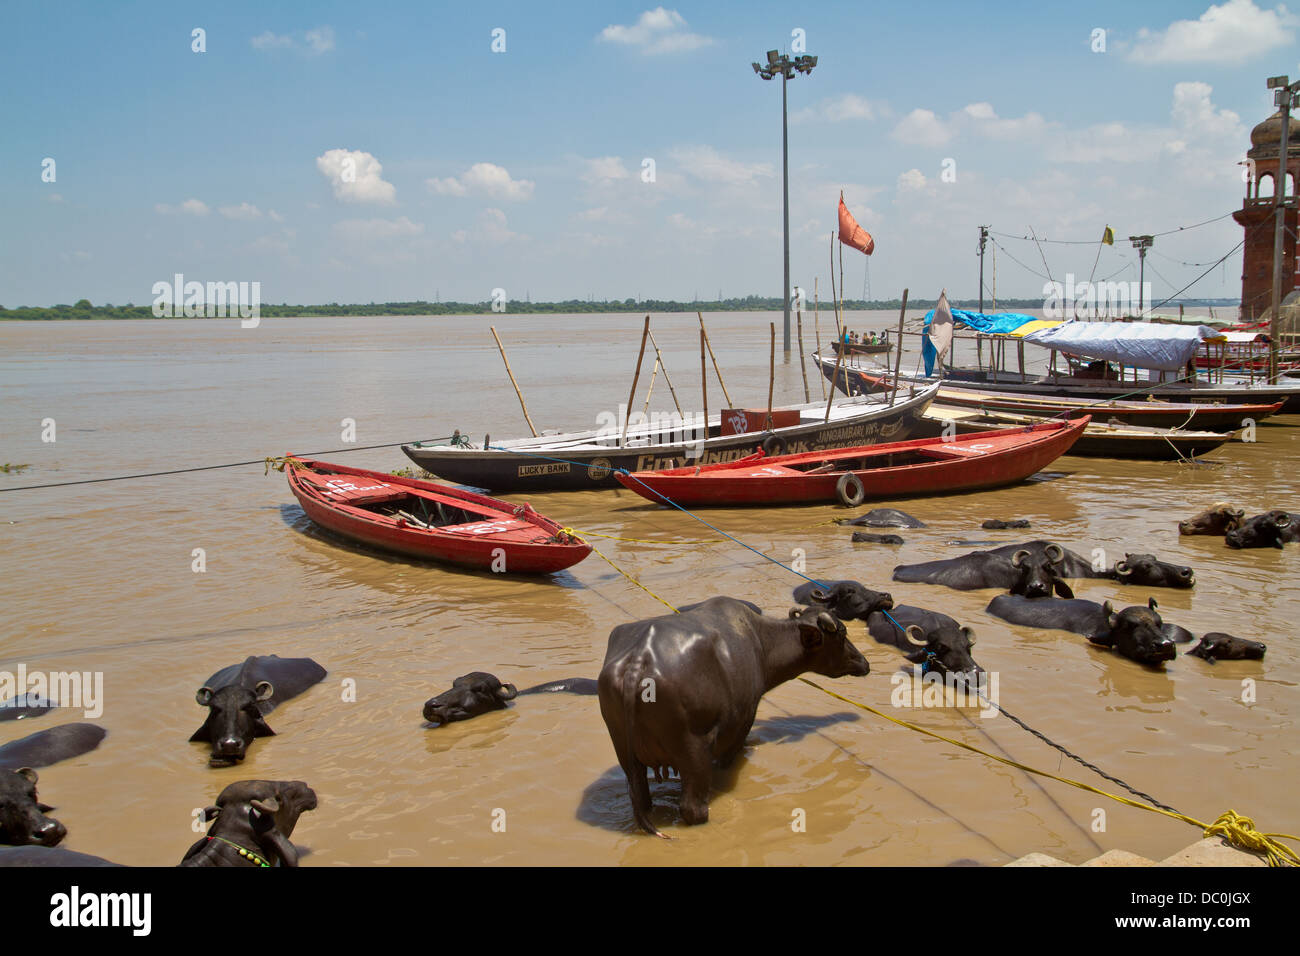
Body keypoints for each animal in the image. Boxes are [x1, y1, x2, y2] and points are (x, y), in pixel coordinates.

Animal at [597, 597, 869, 837]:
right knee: (692, 808)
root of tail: (638, 662)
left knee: (640, 796)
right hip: (693, 750)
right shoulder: (738, 729)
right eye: (842, 634)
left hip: (624, 749)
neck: (762, 644)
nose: (864, 662)